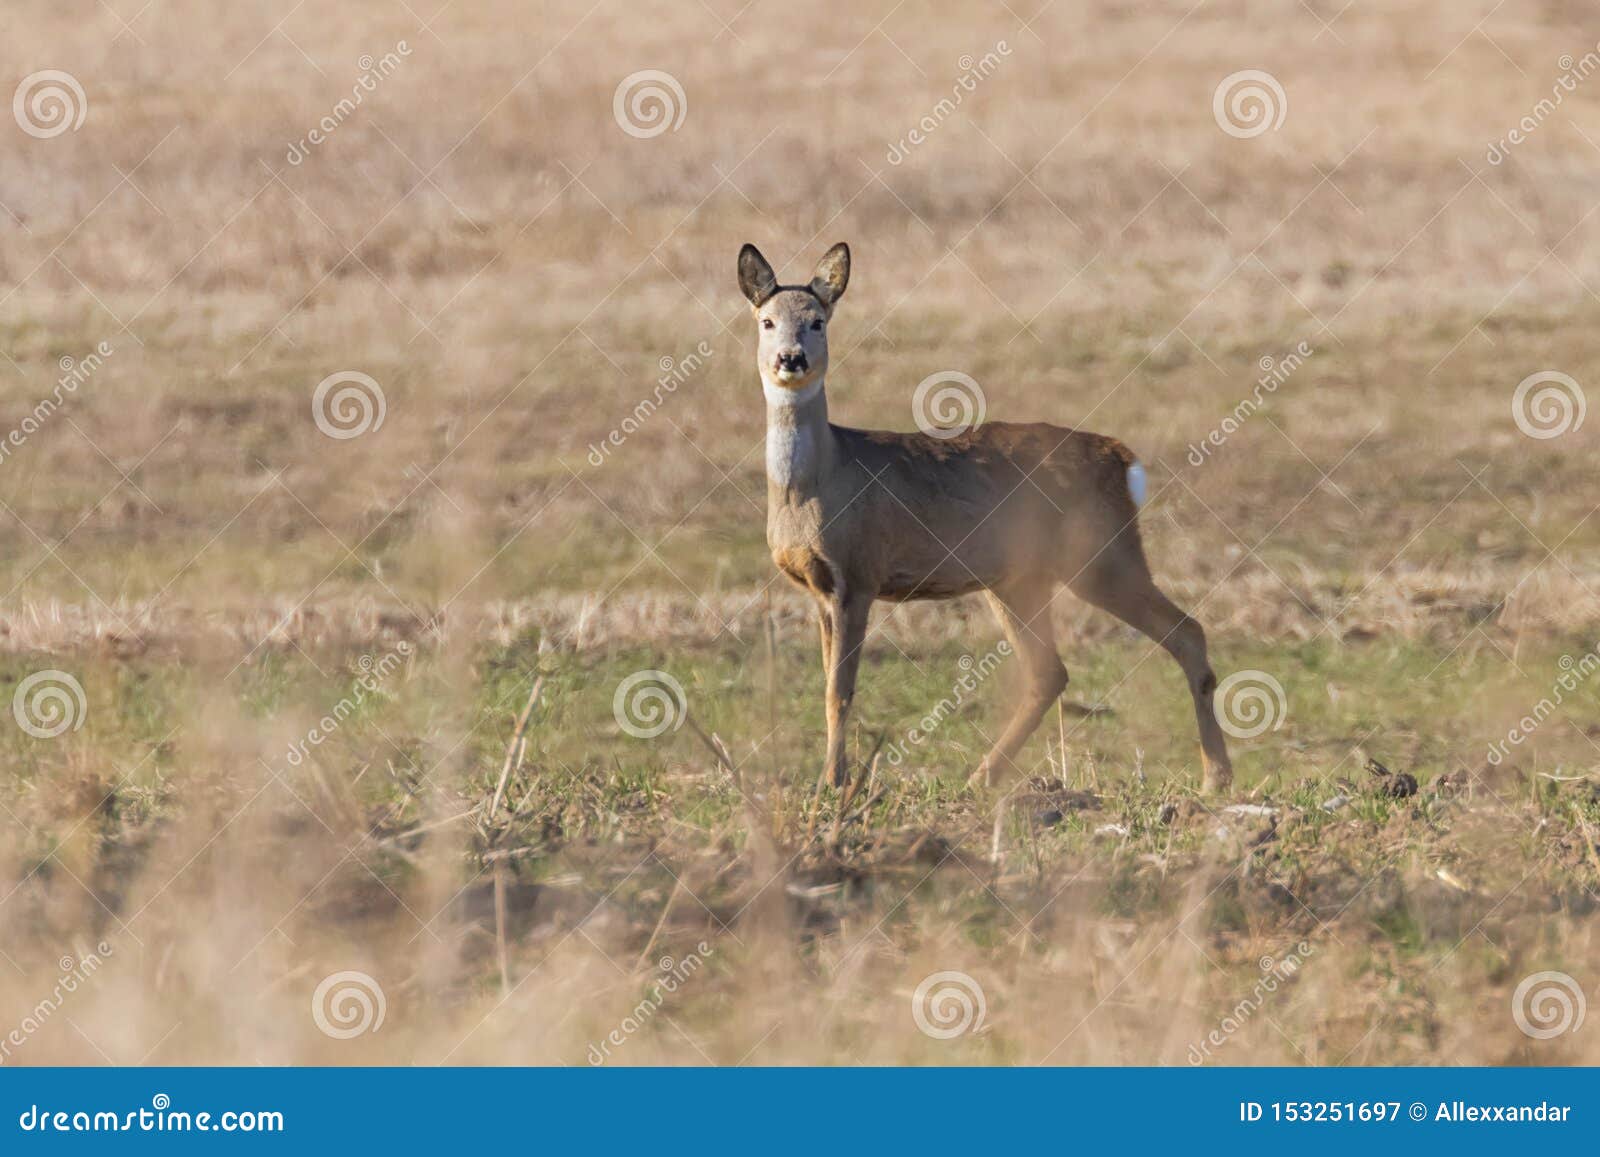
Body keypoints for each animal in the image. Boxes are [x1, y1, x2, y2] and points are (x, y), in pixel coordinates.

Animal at [739, 241, 1234, 796]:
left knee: (1186, 631)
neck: (817, 483)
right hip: (1021, 577)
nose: (791, 358)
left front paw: (833, 784)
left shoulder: (859, 575)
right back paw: (984, 776)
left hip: (1100, 552)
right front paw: (832, 779)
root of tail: (1121, 458)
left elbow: (840, 691)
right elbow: (829, 687)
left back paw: (1216, 777)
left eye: (818, 320)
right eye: (766, 321)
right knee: (1050, 670)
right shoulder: (820, 588)